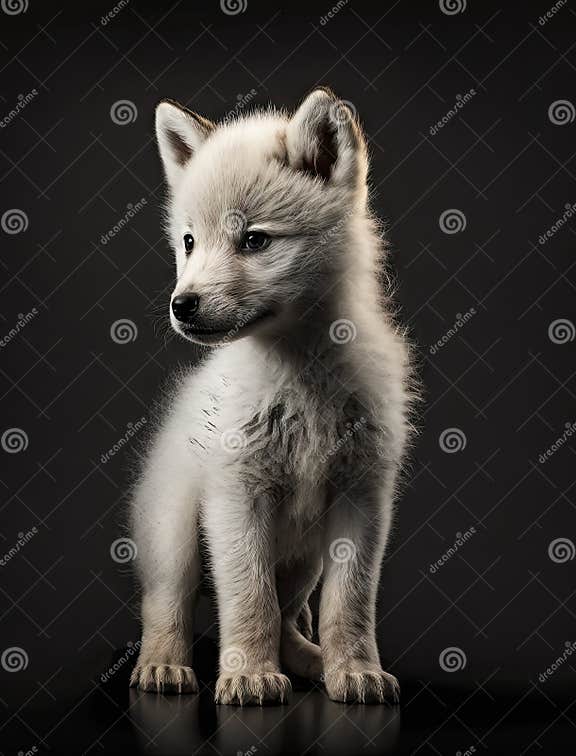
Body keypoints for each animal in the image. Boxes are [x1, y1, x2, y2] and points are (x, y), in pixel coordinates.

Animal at [129, 88, 413, 705]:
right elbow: (247, 600)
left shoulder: (362, 497)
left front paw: (355, 670)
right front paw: (249, 676)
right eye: (189, 241)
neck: (303, 377)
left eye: (254, 240)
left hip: (304, 557)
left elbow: (349, 604)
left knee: (290, 617)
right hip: (176, 535)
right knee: (166, 606)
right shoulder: (238, 496)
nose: (181, 305)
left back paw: (313, 662)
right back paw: (163, 666)